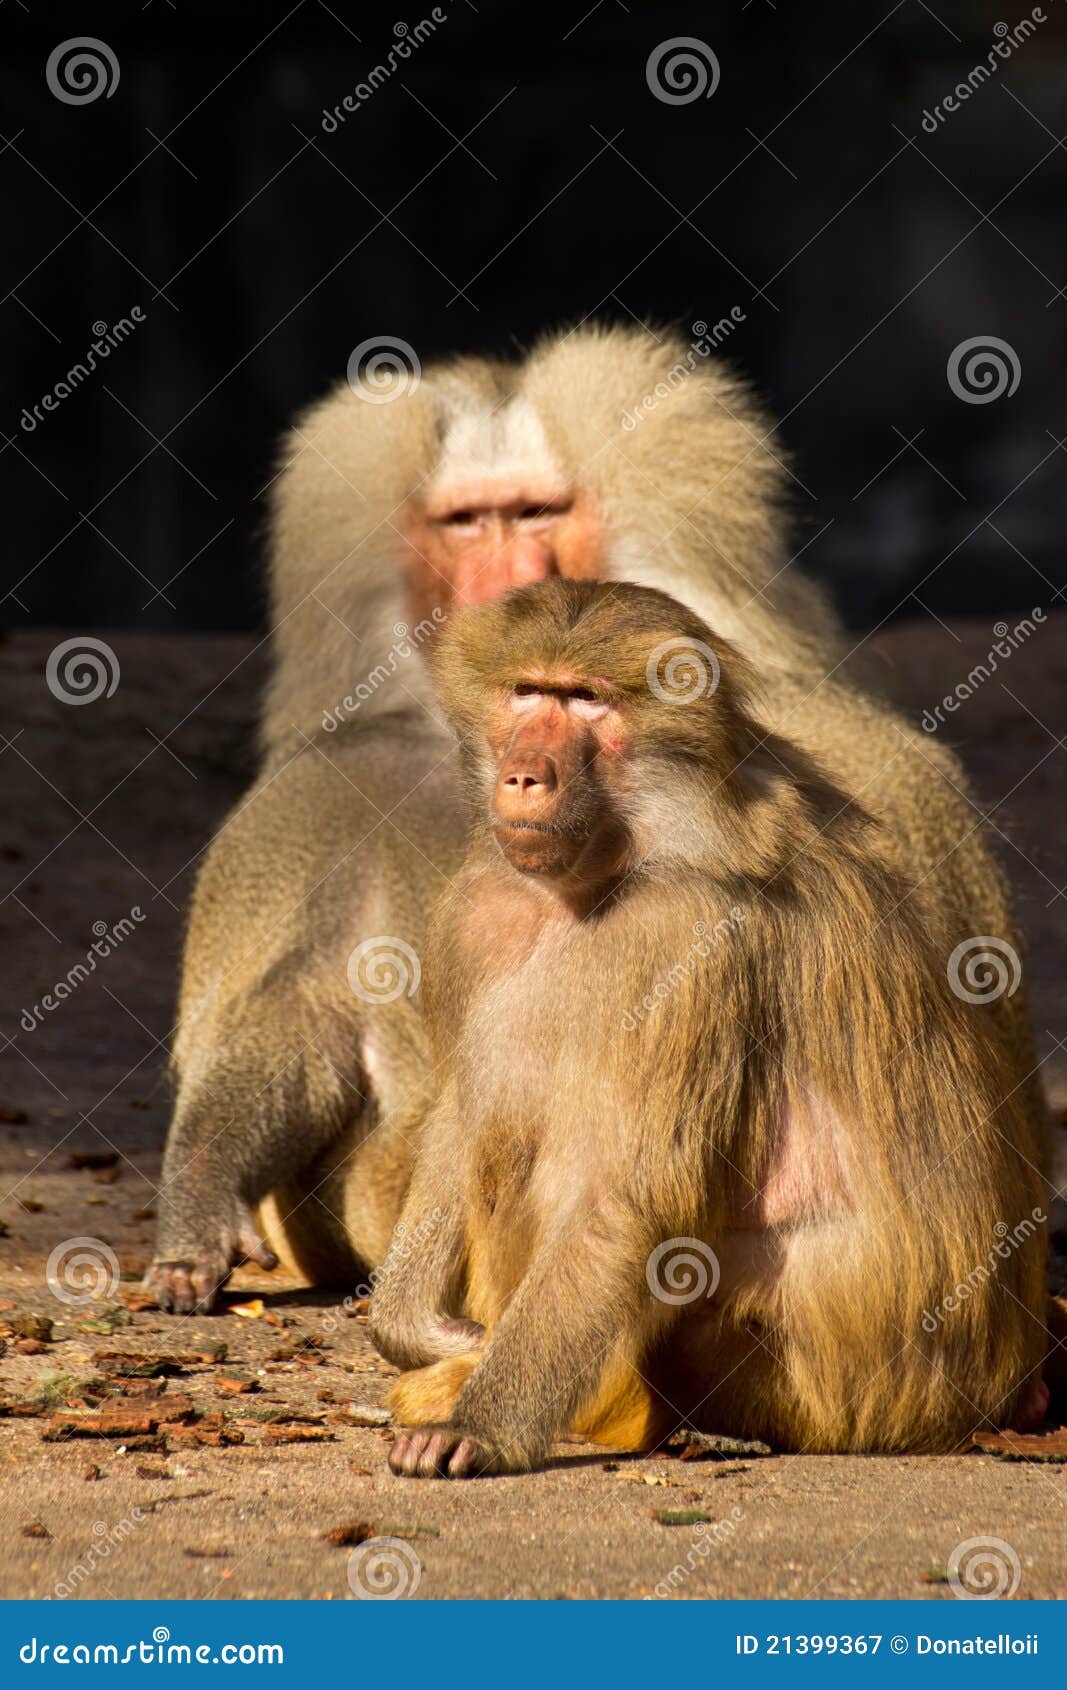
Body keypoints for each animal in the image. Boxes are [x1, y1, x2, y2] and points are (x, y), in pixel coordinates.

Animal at [145, 324, 1045, 1317]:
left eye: (538, 513)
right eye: (466, 523)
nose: (509, 597)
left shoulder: (864, 762)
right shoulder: (322, 793)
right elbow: (299, 1012)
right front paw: (198, 1206)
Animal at [371, 579, 1048, 1476]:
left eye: (586, 701)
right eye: (526, 691)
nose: (522, 777)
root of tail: (1003, 1382)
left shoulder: (677, 935)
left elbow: (622, 1199)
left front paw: (479, 1427)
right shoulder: (480, 905)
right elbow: (460, 1112)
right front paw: (418, 1327)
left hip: (847, 1376)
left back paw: (612, 1413)